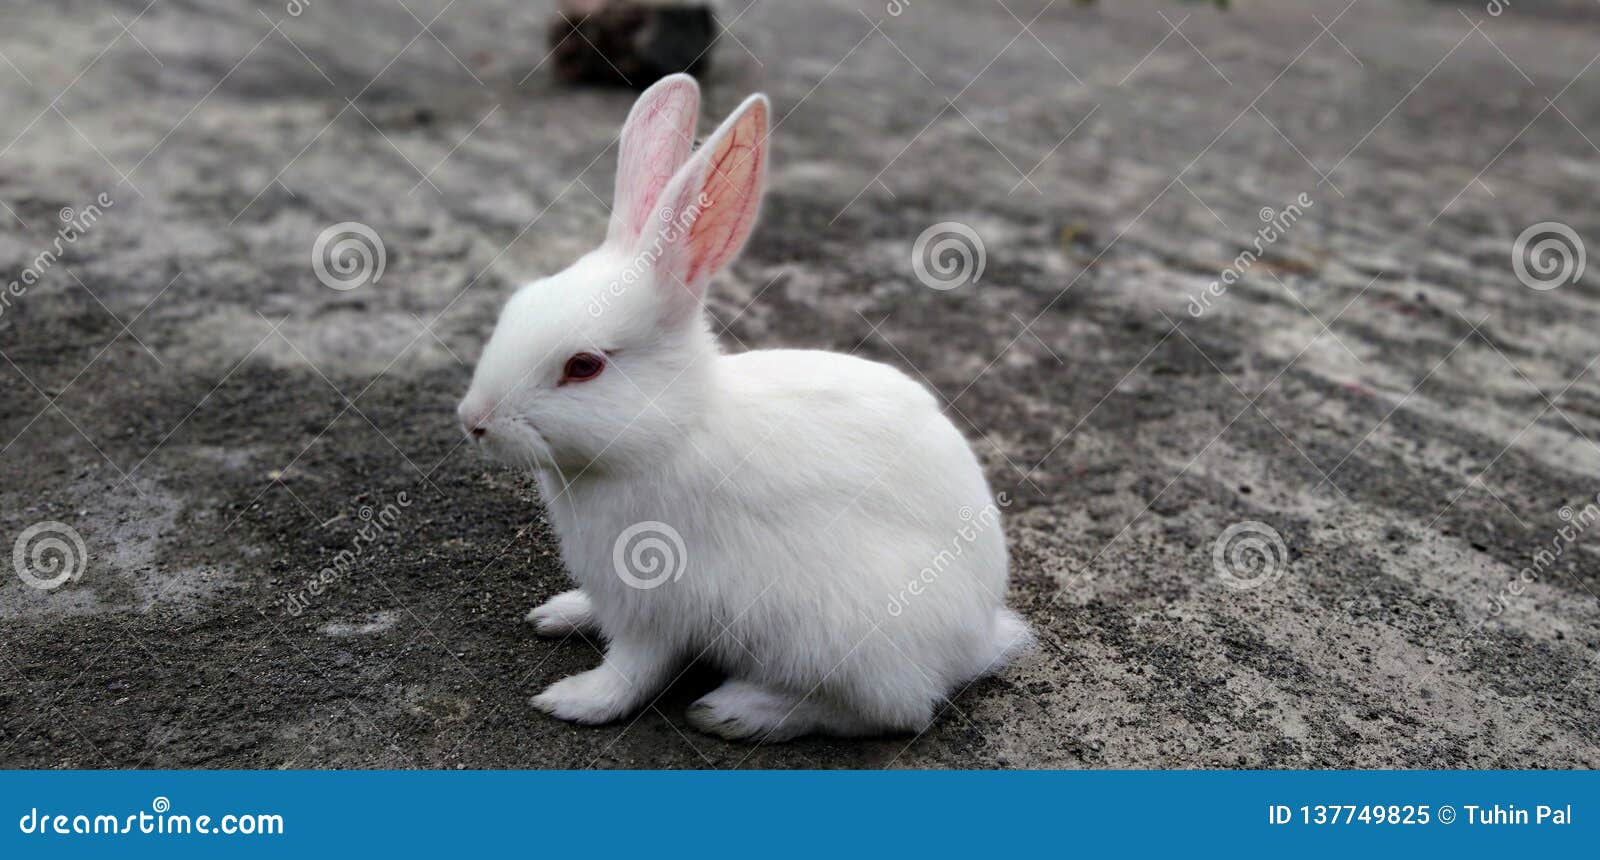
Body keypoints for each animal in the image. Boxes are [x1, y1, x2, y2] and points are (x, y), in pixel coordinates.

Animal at [457, 73, 1032, 741]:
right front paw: (561, 613)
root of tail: (977, 638)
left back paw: (739, 710)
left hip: (842, 634)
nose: (474, 422)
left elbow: (634, 668)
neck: (670, 432)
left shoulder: (656, 598)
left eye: (584, 366)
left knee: (889, 711)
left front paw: (575, 701)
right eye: (517, 303)